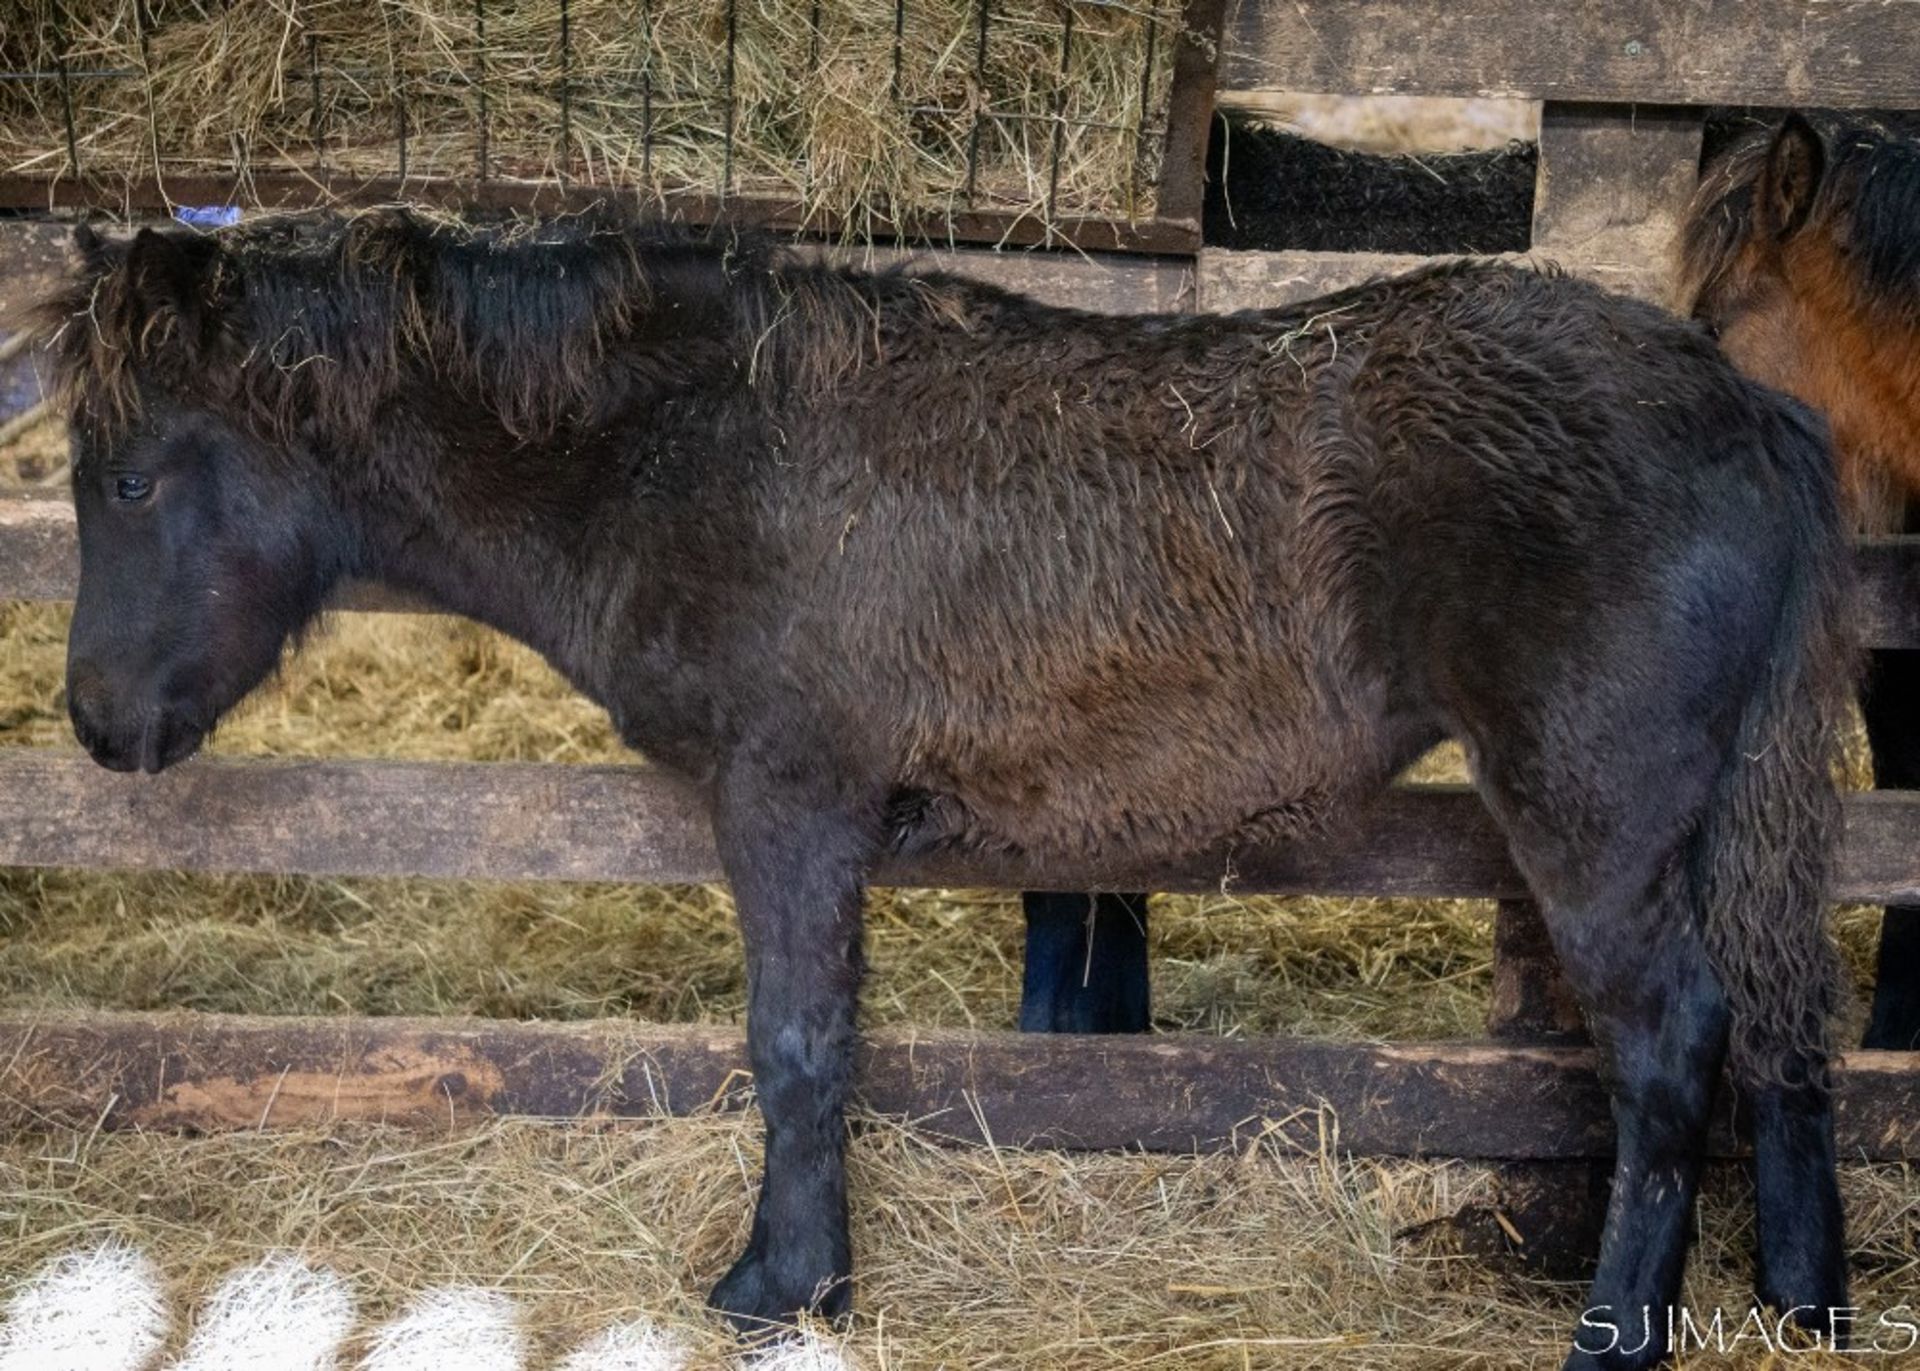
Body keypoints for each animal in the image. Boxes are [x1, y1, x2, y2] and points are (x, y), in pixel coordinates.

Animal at [39, 209, 1851, 1369]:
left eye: (127, 481)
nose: (97, 725)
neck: (683, 443)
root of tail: (1746, 401)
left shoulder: (789, 807)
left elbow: (797, 1047)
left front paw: (784, 1282)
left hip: (1592, 820)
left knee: (1675, 1046)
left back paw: (1617, 1334)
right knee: (1779, 1022)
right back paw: (1803, 1293)